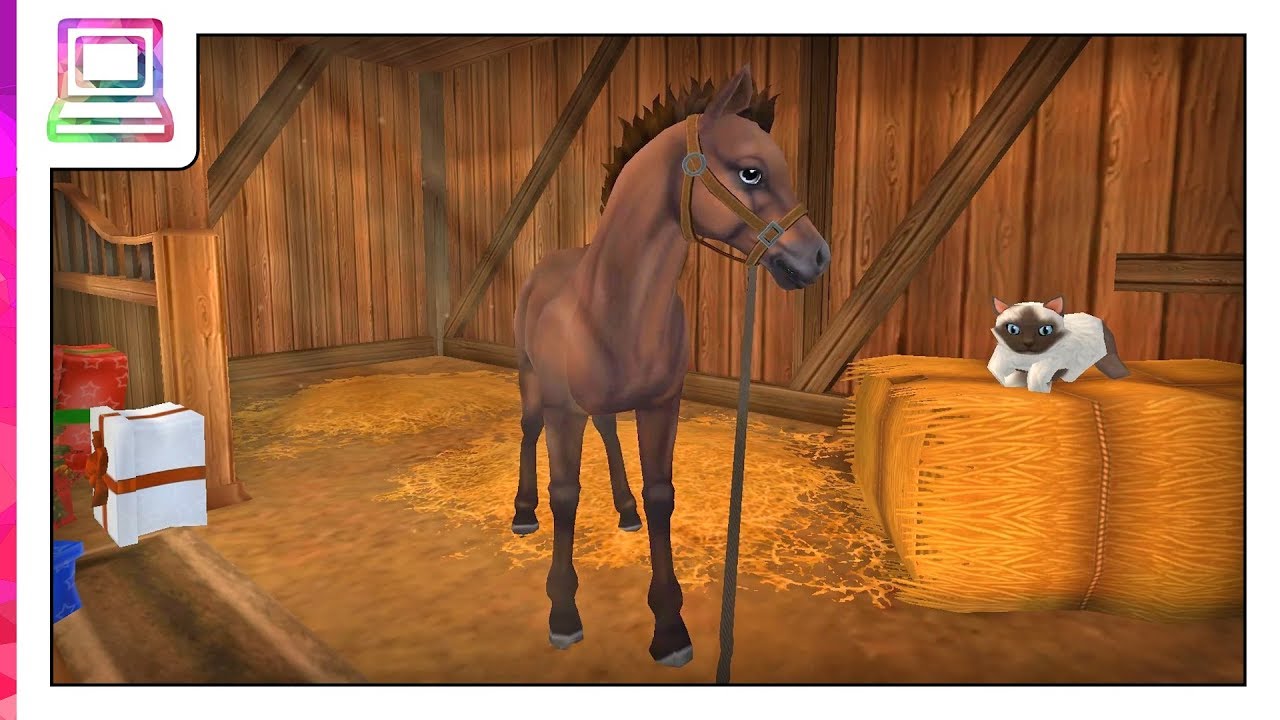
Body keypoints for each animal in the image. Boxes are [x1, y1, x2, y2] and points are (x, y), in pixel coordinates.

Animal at [510, 64, 831, 668]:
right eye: (751, 171)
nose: (818, 258)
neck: (613, 303)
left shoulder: (662, 406)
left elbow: (662, 498)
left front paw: (669, 628)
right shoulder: (565, 411)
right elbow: (566, 495)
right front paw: (563, 614)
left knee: (609, 431)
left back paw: (624, 509)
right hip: (531, 378)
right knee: (529, 430)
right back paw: (522, 511)